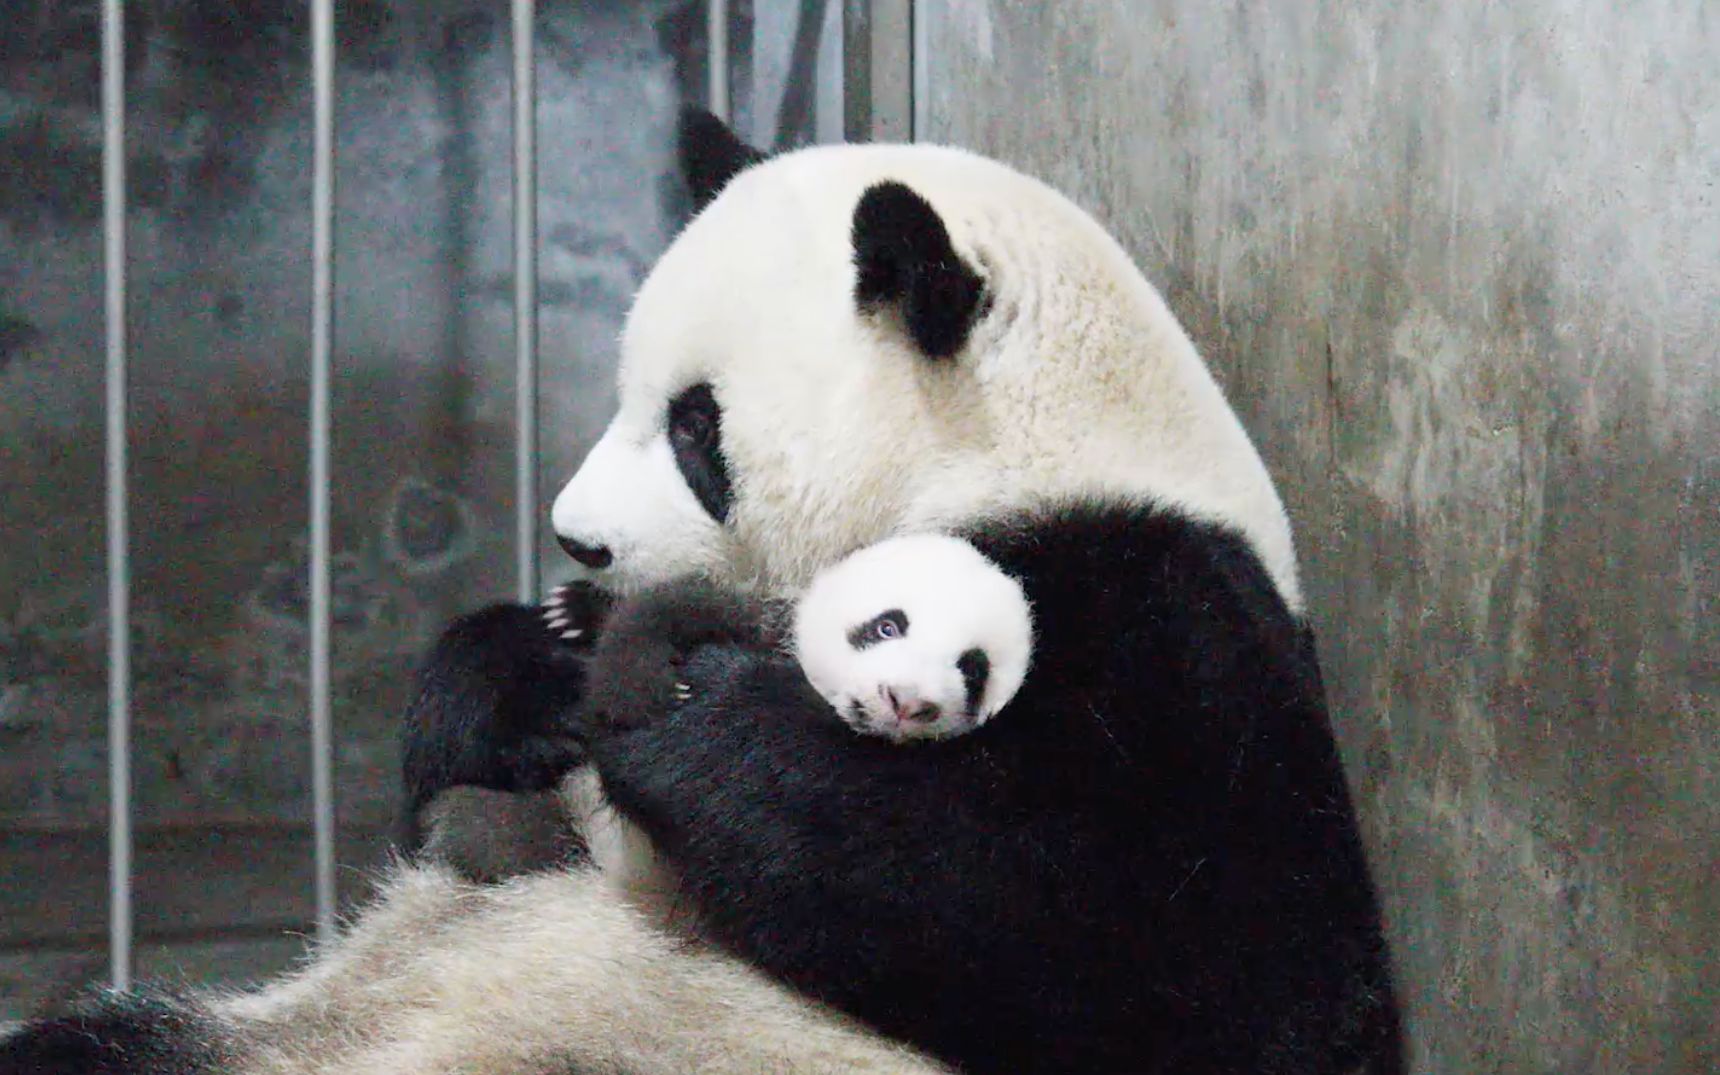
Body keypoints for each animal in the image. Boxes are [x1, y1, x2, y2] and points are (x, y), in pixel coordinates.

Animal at [0, 109, 1404, 1075]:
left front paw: (698, 719)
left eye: (693, 429)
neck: (1016, 455)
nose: (575, 541)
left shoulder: (1162, 617)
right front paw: (524, 678)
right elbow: (448, 816)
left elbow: (1220, 969)